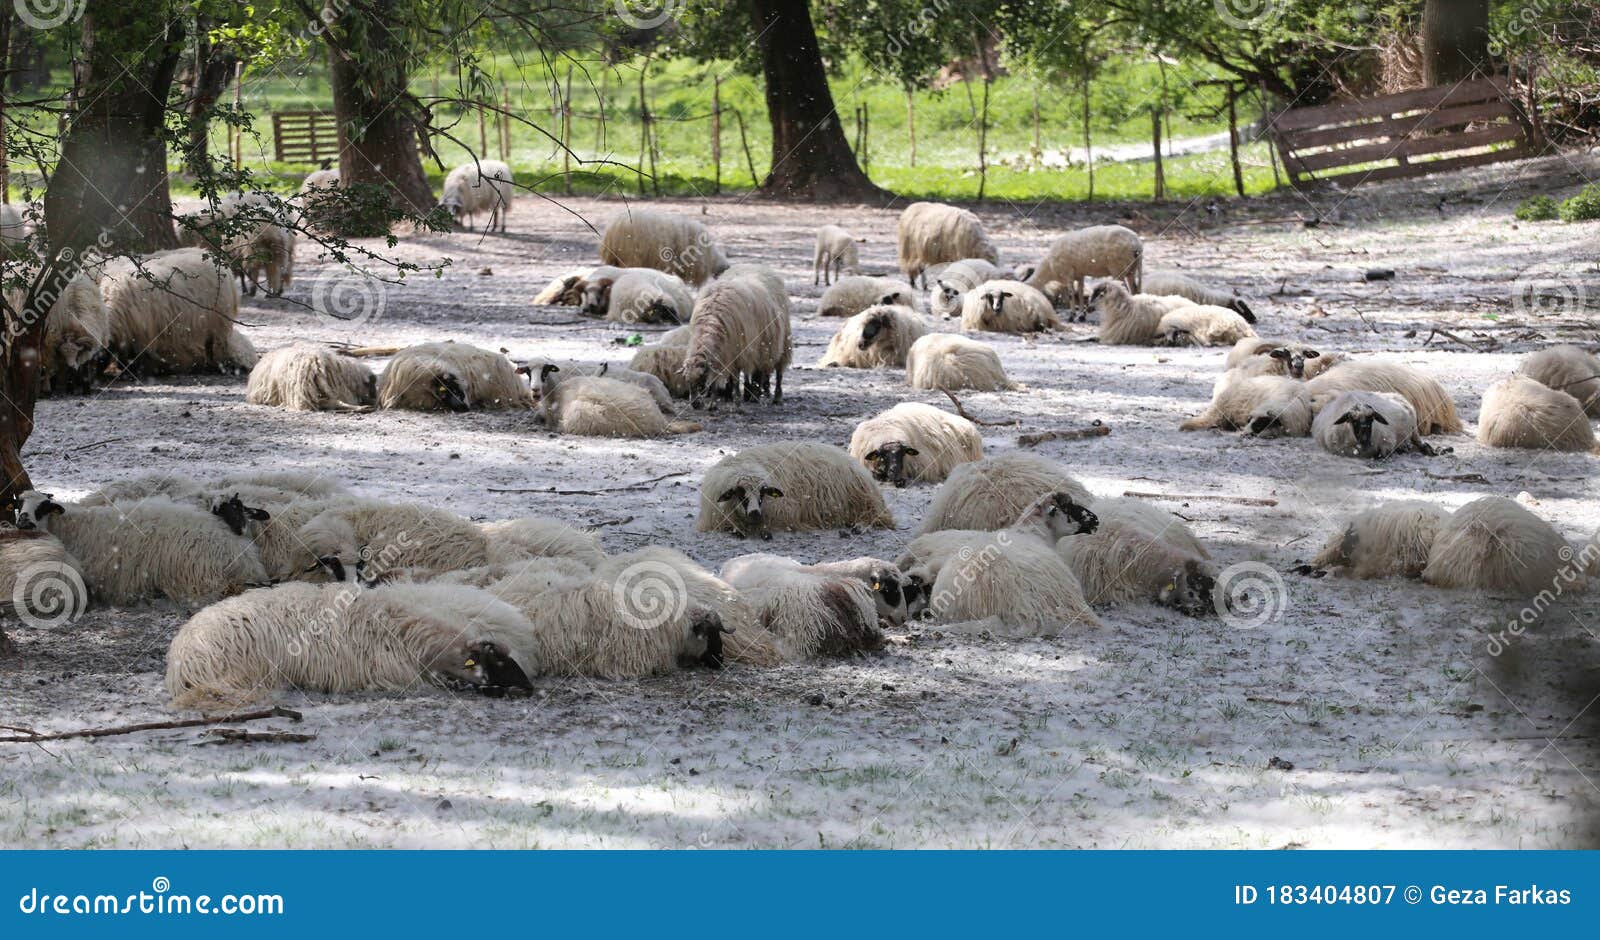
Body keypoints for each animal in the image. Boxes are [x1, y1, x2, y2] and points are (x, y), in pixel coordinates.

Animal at [682, 271, 792, 406]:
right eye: (686, 380)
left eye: (701, 380)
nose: (695, 405)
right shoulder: (726, 352)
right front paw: (728, 396)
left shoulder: (738, 351)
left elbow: (735, 378)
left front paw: (737, 399)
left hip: (779, 341)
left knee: (777, 371)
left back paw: (773, 396)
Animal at [697, 442, 894, 539]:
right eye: (739, 492)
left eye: (763, 492)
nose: (755, 514)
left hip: (864, 501)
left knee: (879, 519)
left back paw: (859, 527)